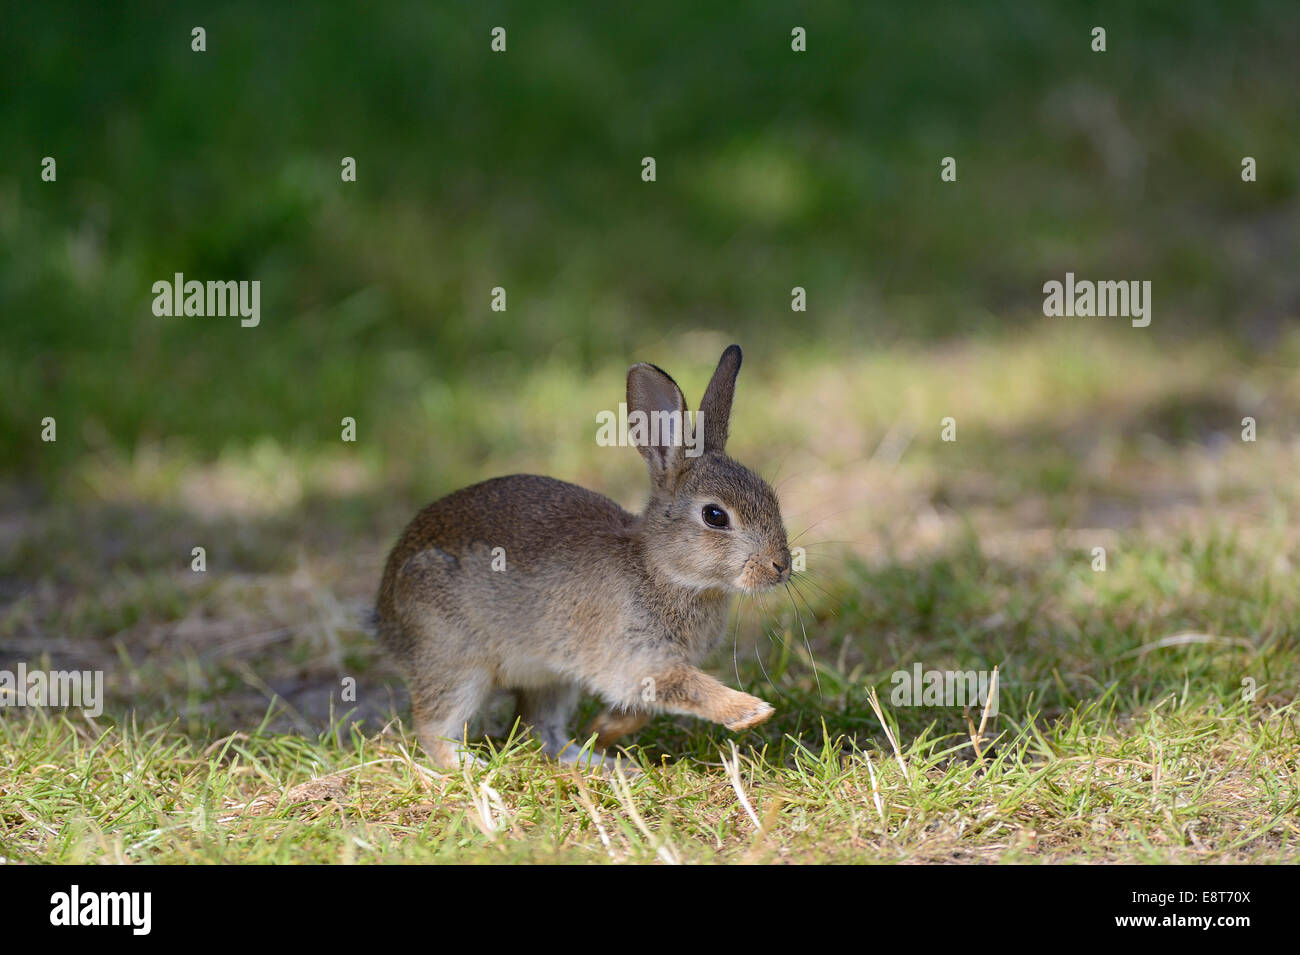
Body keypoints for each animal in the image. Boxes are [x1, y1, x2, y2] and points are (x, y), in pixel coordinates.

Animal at [374, 344, 791, 769]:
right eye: (715, 516)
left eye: (771, 498)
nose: (781, 566)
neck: (661, 570)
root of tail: (384, 617)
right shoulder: (639, 661)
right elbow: (685, 687)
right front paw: (751, 711)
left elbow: (641, 710)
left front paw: (603, 729)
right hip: (455, 661)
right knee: (434, 726)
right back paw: (475, 767)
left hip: (551, 679)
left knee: (542, 733)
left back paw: (606, 765)